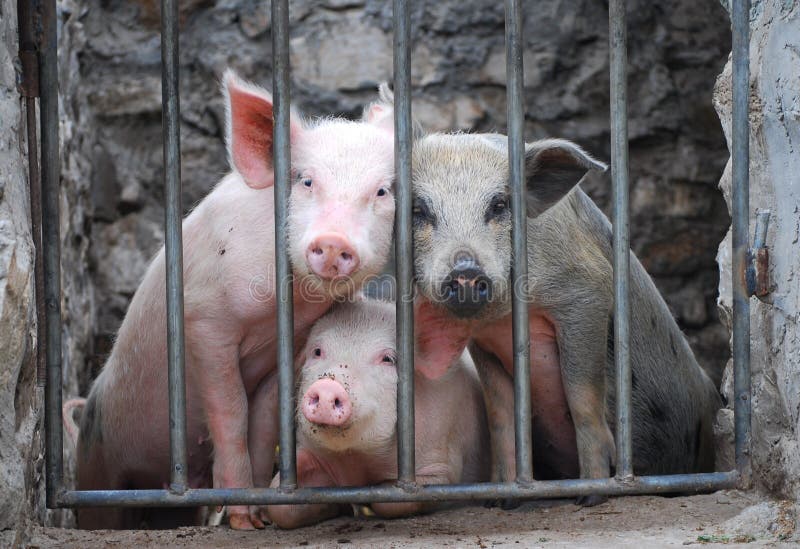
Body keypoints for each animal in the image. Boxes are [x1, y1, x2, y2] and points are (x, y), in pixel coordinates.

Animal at [70, 71, 397, 530]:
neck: (282, 307)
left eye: (382, 191)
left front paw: (261, 518)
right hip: (96, 470)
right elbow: (232, 413)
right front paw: (241, 520)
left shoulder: (289, 348)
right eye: (306, 181)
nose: (334, 242)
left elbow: (263, 421)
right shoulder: (204, 321)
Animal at [265, 297, 489, 529]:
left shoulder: (441, 466)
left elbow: (394, 500)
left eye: (388, 359)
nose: (327, 386)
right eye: (317, 351)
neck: (360, 459)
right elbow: (279, 504)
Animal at [410, 133, 722, 505]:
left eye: (499, 205)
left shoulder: (587, 293)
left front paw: (590, 495)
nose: (467, 272)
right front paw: (500, 499)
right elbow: (502, 417)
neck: (506, 317)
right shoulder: (484, 344)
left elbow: (582, 399)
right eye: (419, 210)